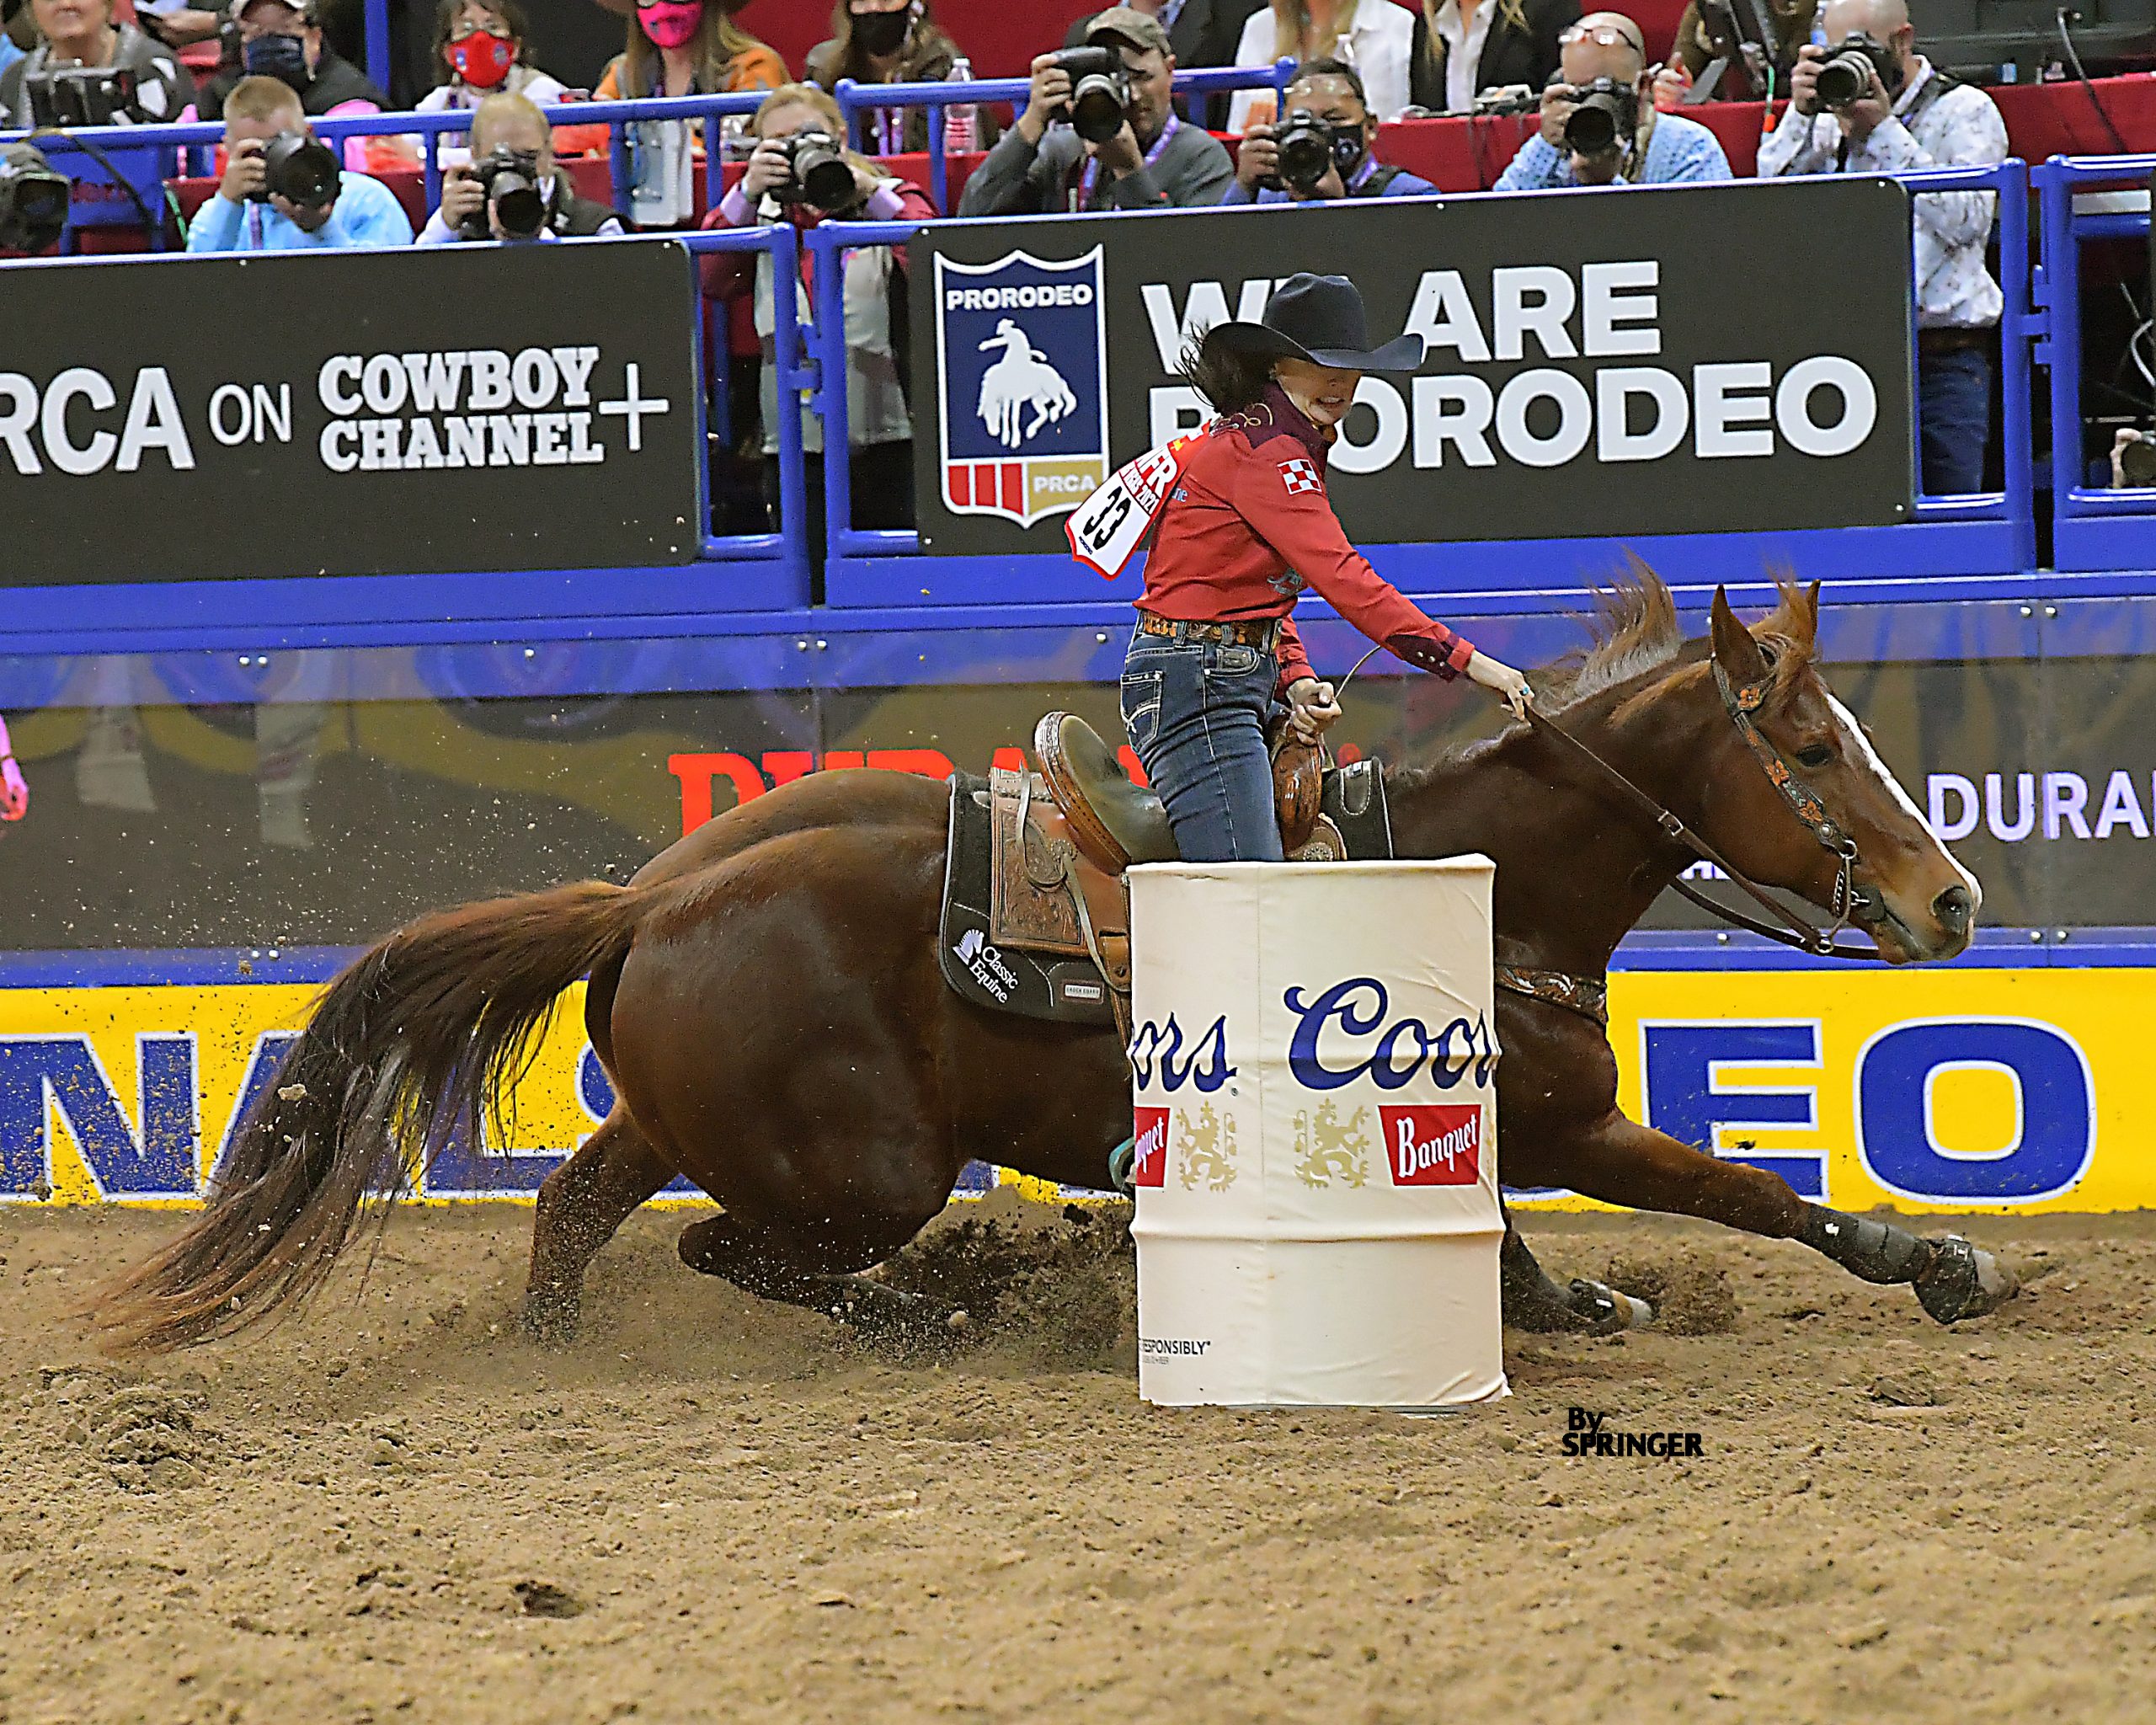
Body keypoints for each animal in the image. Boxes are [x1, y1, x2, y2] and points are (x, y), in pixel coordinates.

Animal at [90, 576, 2015, 1357]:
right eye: (1813, 748)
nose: (1949, 903)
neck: (1489, 884)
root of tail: (648, 900)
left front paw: (1575, 1303)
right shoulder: (1563, 1124)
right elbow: (1745, 1190)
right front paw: (1941, 1266)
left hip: (689, 1117)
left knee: (572, 1215)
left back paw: (558, 1357)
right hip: (861, 1168)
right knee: (749, 1254)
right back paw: (945, 1312)